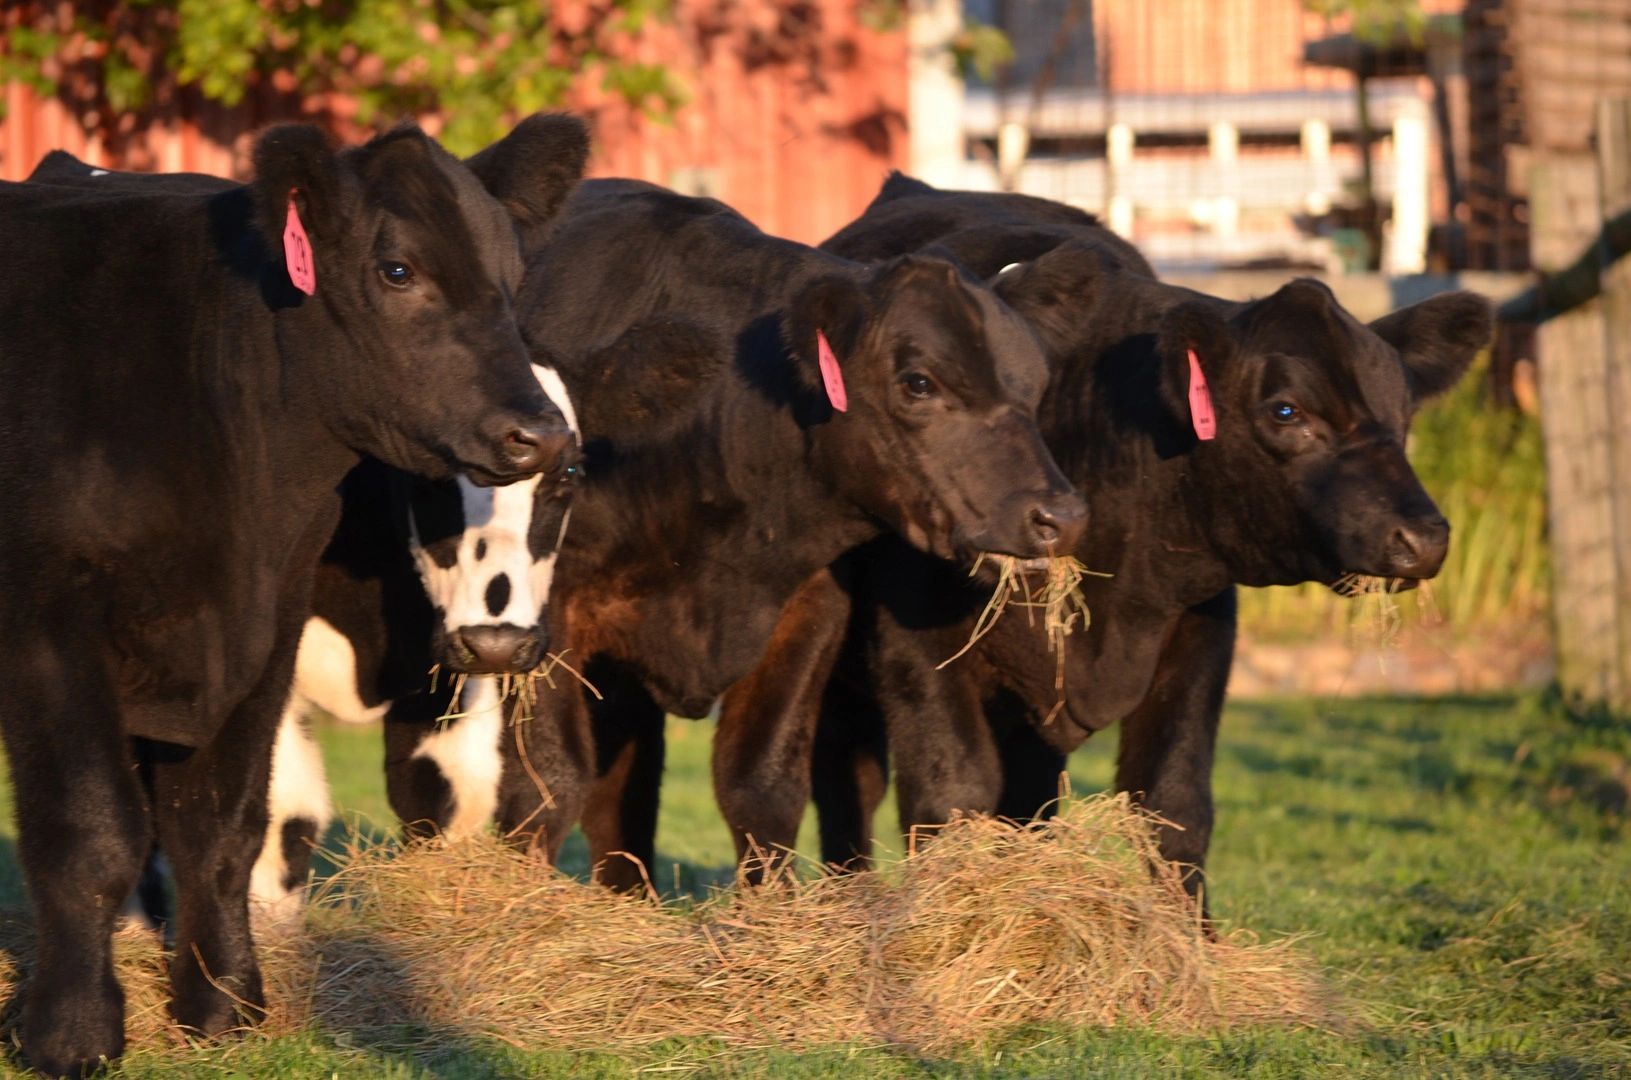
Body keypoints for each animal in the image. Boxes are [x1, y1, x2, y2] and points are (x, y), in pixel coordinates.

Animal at [0, 115, 585, 1075]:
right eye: (397, 269)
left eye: (511, 276)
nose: (533, 431)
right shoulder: (50, 619)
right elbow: (92, 832)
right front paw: (71, 1032)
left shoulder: (265, 619)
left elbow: (225, 824)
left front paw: (225, 1008)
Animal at [377, 177, 1090, 891]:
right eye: (919, 382)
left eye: (1033, 387)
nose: (1061, 516)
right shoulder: (544, 613)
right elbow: (549, 783)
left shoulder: (808, 608)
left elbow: (759, 783)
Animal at [708, 175, 1494, 904]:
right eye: (1284, 410)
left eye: (1402, 414)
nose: (1423, 537)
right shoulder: (914, 638)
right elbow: (949, 793)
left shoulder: (1199, 622)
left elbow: (1174, 801)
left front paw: (1189, 943)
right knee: (850, 777)